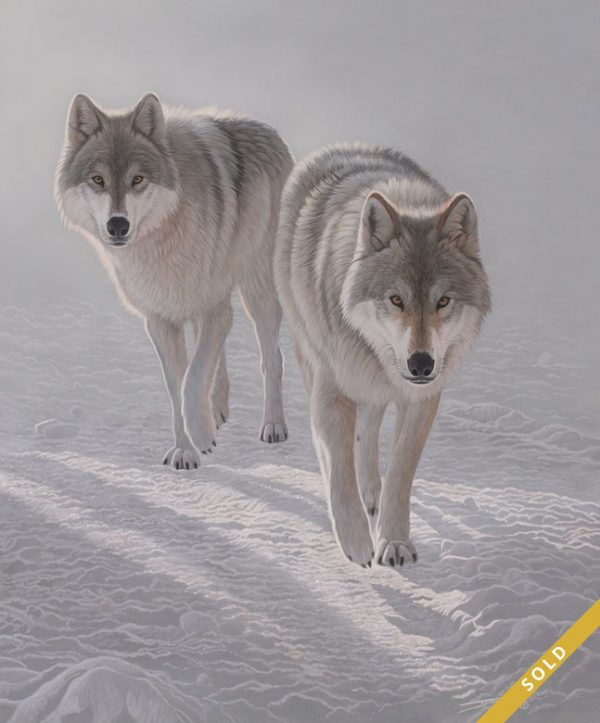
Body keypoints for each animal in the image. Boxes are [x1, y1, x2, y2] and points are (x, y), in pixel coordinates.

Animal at [55, 93, 293, 468]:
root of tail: (270, 132)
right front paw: (186, 450)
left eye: (138, 179)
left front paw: (201, 435)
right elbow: (177, 387)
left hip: (259, 294)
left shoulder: (211, 307)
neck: (163, 238)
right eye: (98, 180)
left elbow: (192, 381)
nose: (117, 225)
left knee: (272, 358)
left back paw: (272, 426)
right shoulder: (160, 320)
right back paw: (218, 409)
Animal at [275, 144, 490, 567]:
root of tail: (344, 146)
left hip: (371, 392)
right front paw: (357, 541)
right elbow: (339, 470)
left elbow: (400, 474)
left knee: (369, 432)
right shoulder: (334, 391)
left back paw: (371, 494)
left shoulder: (422, 400)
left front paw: (393, 541)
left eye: (443, 301)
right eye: (396, 299)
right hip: (313, 360)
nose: (421, 364)